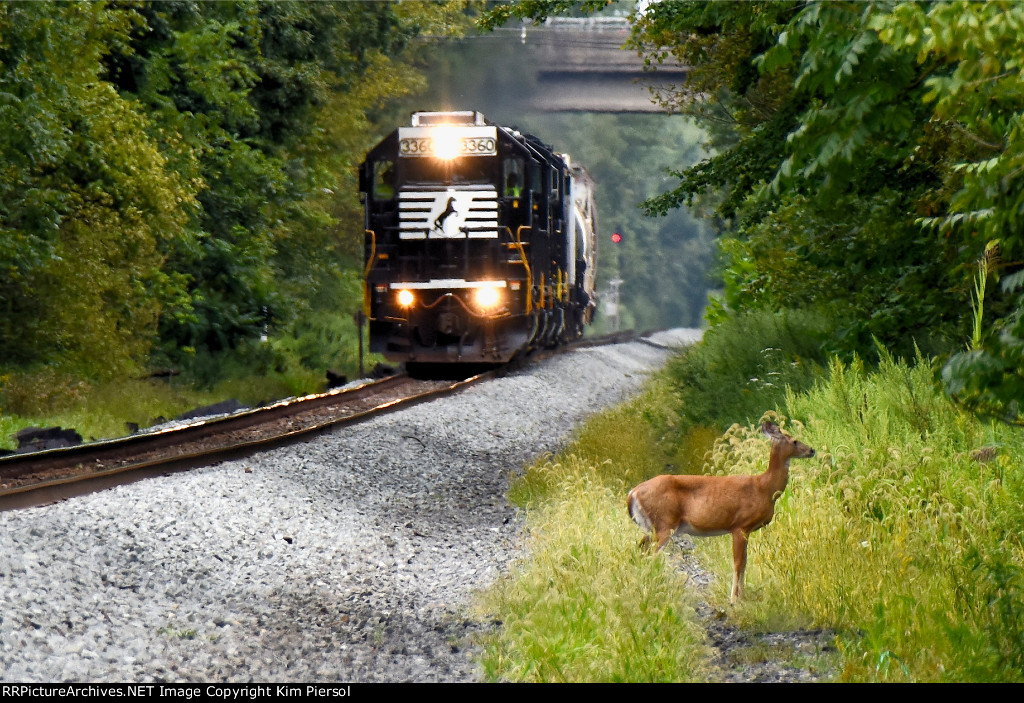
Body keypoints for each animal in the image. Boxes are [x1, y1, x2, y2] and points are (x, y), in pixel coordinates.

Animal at [627, 421, 815, 604]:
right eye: (794, 441)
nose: (812, 450)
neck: (765, 488)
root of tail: (632, 493)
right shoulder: (740, 526)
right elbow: (738, 563)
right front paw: (734, 599)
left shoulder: (745, 530)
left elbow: (744, 563)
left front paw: (741, 596)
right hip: (665, 523)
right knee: (651, 554)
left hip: (651, 526)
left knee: (641, 548)